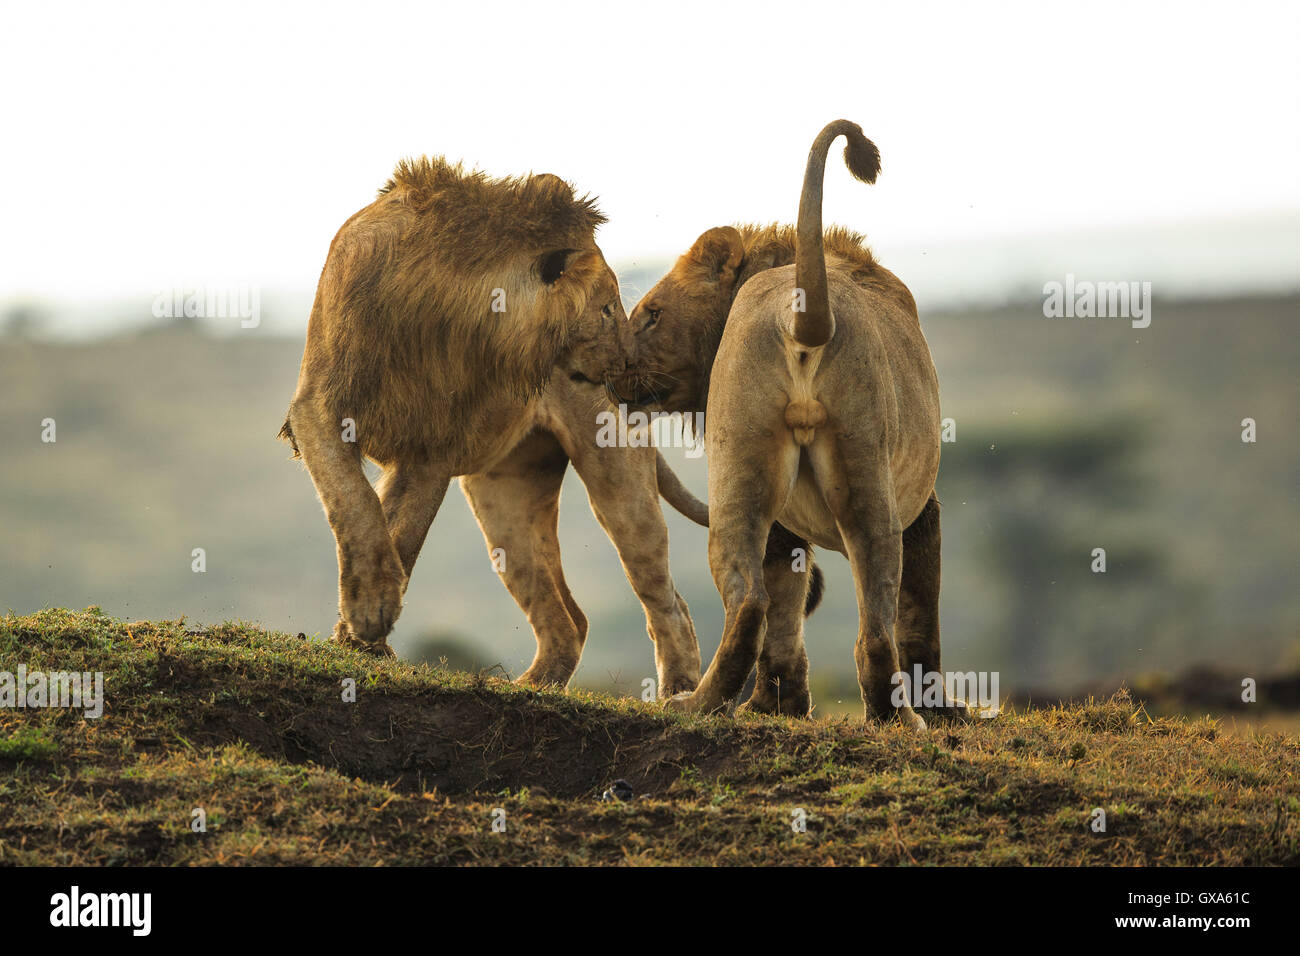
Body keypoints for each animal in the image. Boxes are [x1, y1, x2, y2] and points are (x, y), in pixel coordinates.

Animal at [614, 120, 951, 727]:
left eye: (651, 315)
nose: (611, 371)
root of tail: (799, 311)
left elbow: (791, 600)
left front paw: (780, 707)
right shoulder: (924, 506)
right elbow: (920, 616)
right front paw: (942, 712)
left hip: (750, 474)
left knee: (760, 600)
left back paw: (709, 702)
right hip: (866, 471)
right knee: (860, 614)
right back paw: (890, 717)